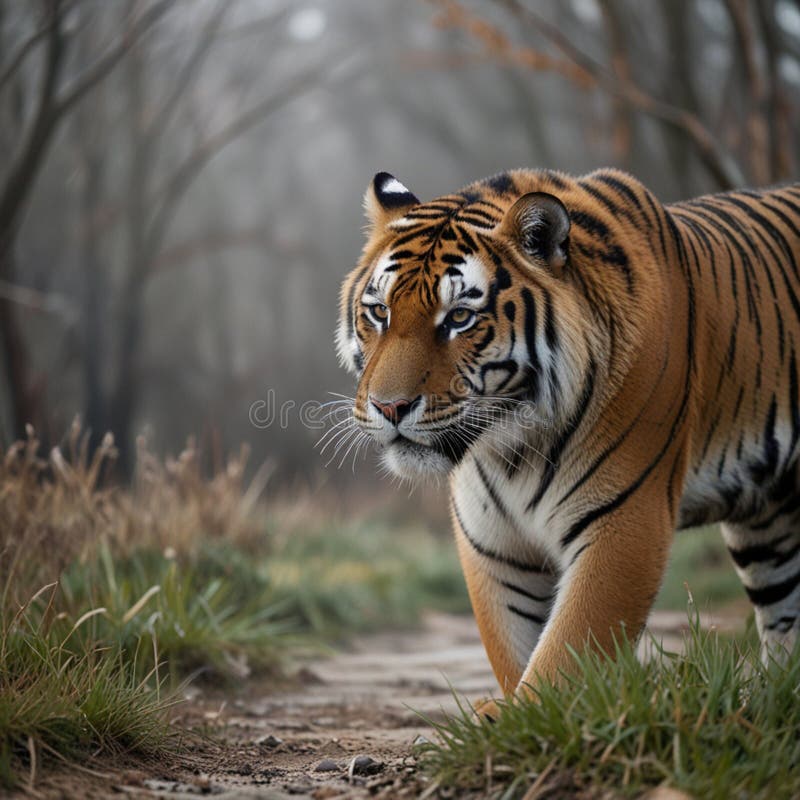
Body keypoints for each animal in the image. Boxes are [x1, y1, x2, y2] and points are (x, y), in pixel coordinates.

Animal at [335, 167, 800, 716]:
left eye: (459, 318)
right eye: (379, 311)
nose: (389, 408)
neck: (510, 445)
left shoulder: (624, 522)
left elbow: (566, 652)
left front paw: (524, 719)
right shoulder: (496, 548)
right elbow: (516, 649)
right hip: (769, 524)